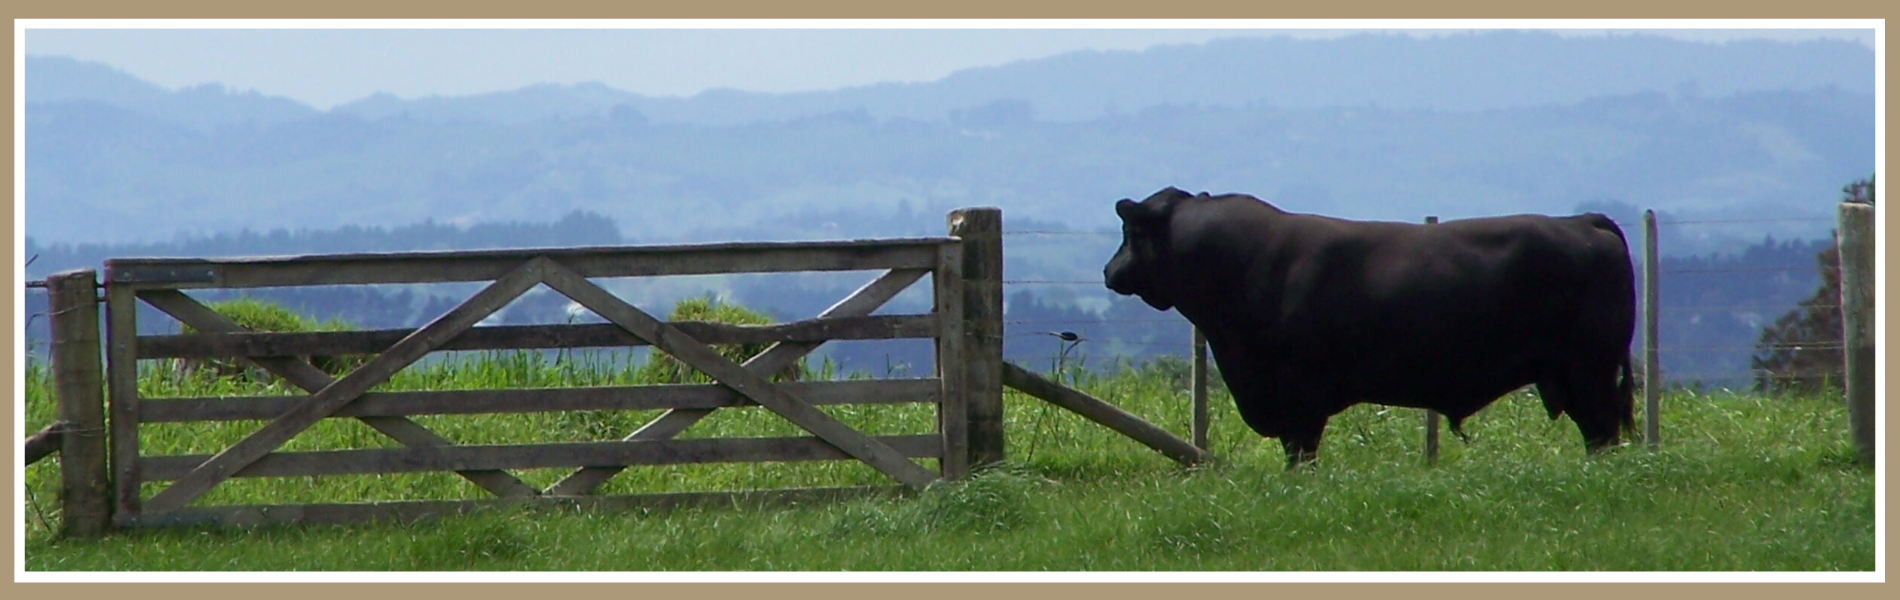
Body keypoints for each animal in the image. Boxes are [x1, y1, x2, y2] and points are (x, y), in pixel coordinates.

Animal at [1103, 187, 1636, 468]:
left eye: (1130, 232)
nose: (1109, 271)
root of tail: (1582, 220)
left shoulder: (1300, 390)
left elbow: (1301, 451)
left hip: (1589, 369)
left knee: (1604, 431)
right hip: (1571, 375)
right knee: (1598, 434)